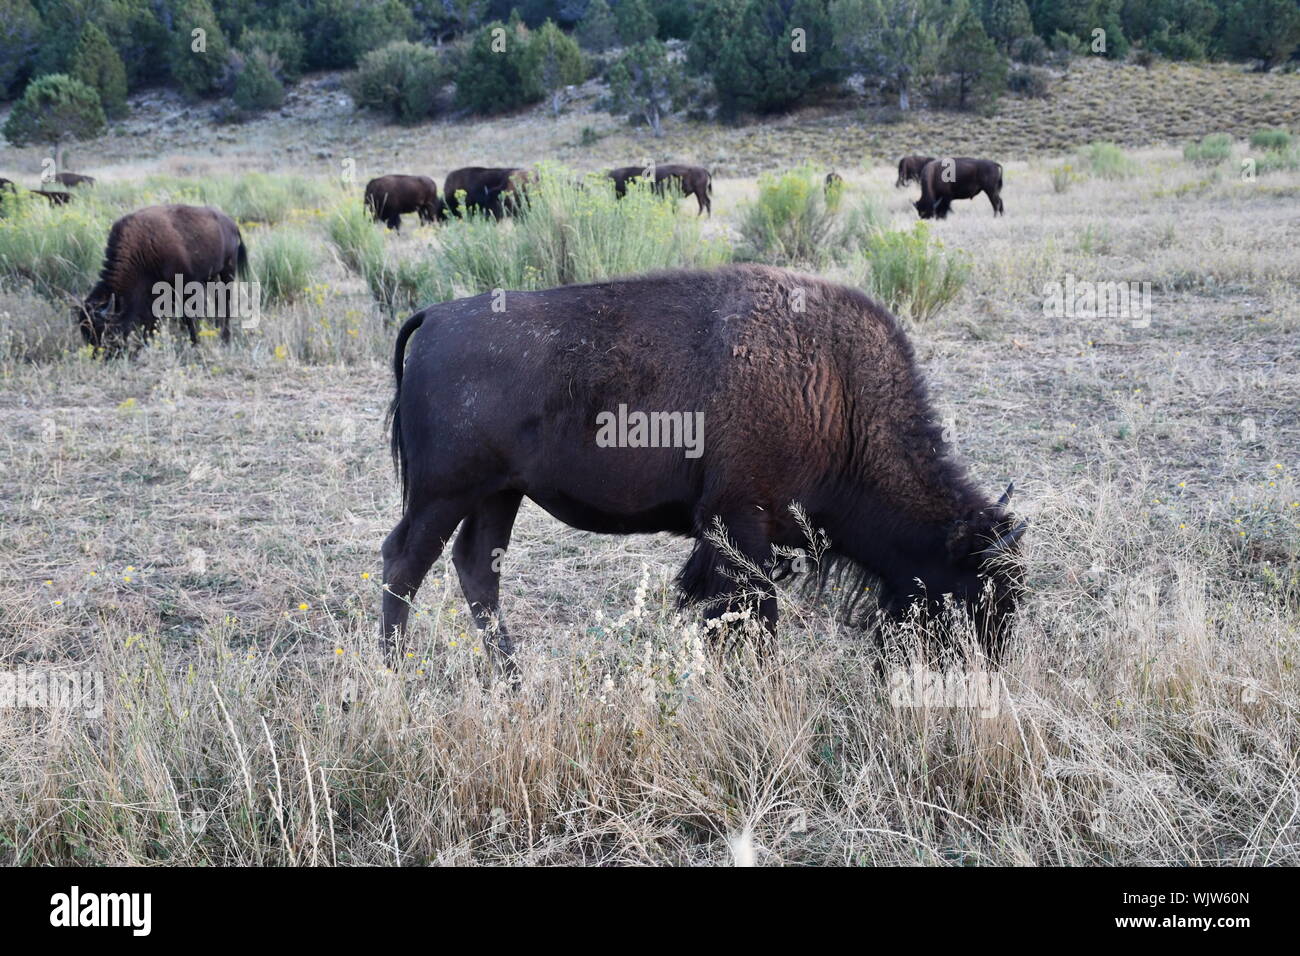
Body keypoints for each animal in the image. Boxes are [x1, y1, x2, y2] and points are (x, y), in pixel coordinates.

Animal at [76, 204, 248, 352]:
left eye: (106, 331)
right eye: (85, 332)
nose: (101, 355)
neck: (142, 248)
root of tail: (232, 224)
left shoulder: (183, 287)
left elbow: (187, 317)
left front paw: (195, 343)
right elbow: (151, 319)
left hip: (228, 271)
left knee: (226, 303)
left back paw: (225, 338)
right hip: (212, 277)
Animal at [381, 265, 1026, 668]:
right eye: (978, 593)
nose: (989, 667)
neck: (836, 395)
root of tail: (434, 316)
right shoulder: (740, 526)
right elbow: (754, 618)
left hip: (498, 494)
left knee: (476, 568)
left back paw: (512, 679)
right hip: (443, 494)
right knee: (405, 562)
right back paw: (395, 676)